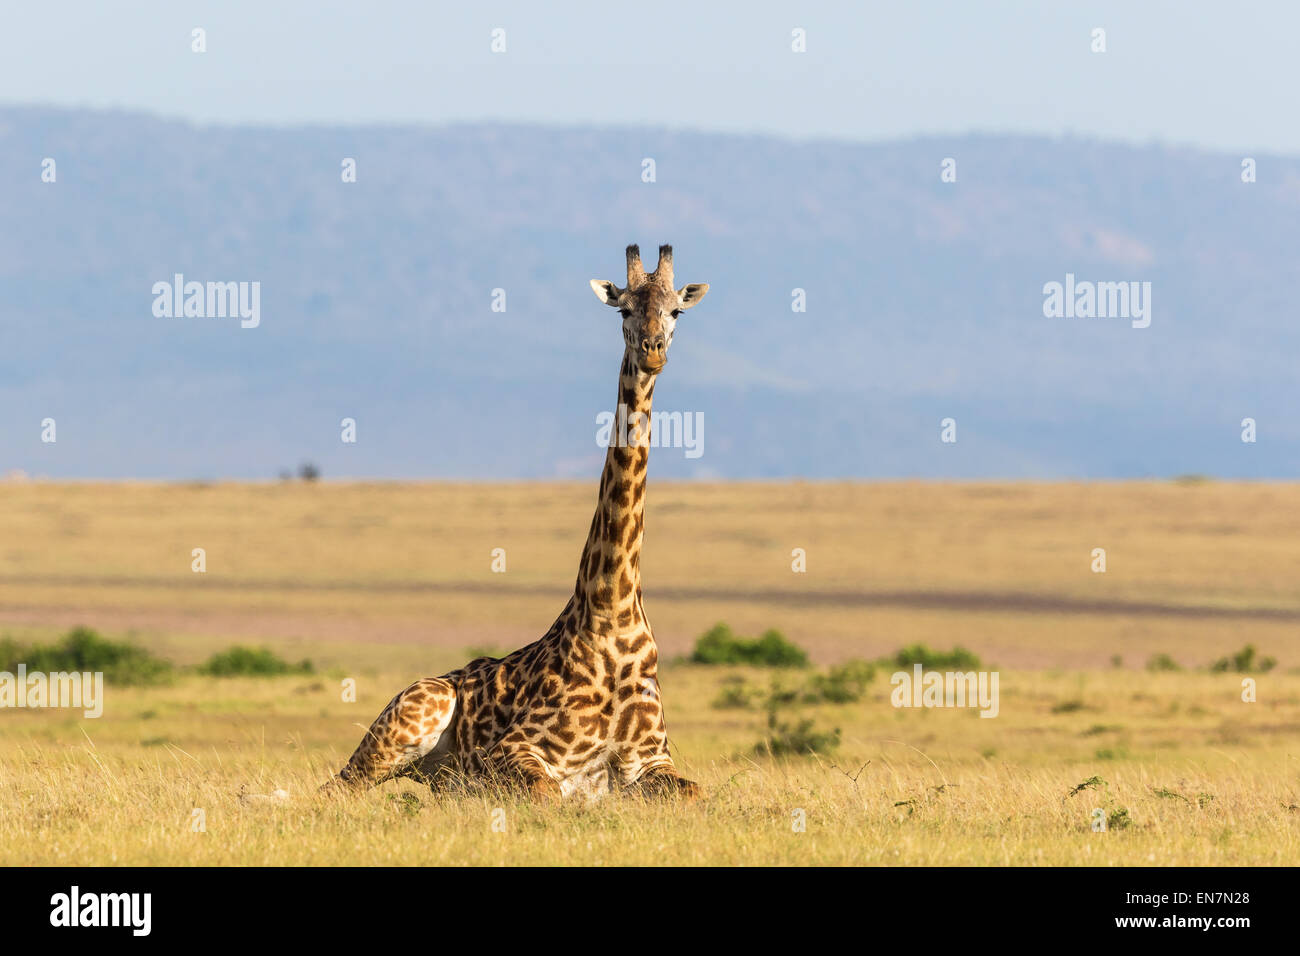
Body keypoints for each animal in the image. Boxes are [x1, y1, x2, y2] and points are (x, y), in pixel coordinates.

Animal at [325, 244, 709, 800]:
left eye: (676, 311)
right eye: (622, 310)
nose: (653, 349)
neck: (612, 614)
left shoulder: (652, 760)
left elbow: (696, 792)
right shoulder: (511, 752)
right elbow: (545, 792)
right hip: (403, 724)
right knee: (335, 787)